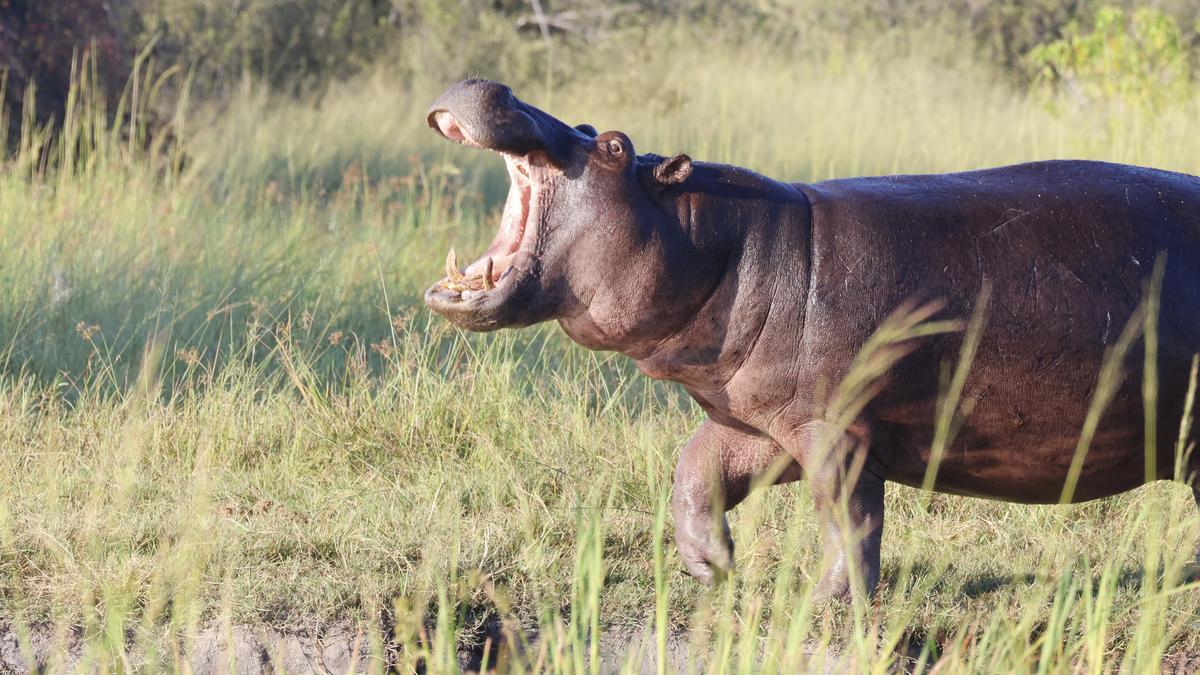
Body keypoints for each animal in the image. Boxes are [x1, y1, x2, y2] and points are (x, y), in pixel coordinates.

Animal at [423, 79, 1200, 601]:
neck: (726, 242)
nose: (493, 85)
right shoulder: (761, 416)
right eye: (587, 123)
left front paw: (826, 601)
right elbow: (696, 469)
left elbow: (849, 516)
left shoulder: (837, 424)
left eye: (613, 144)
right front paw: (713, 567)